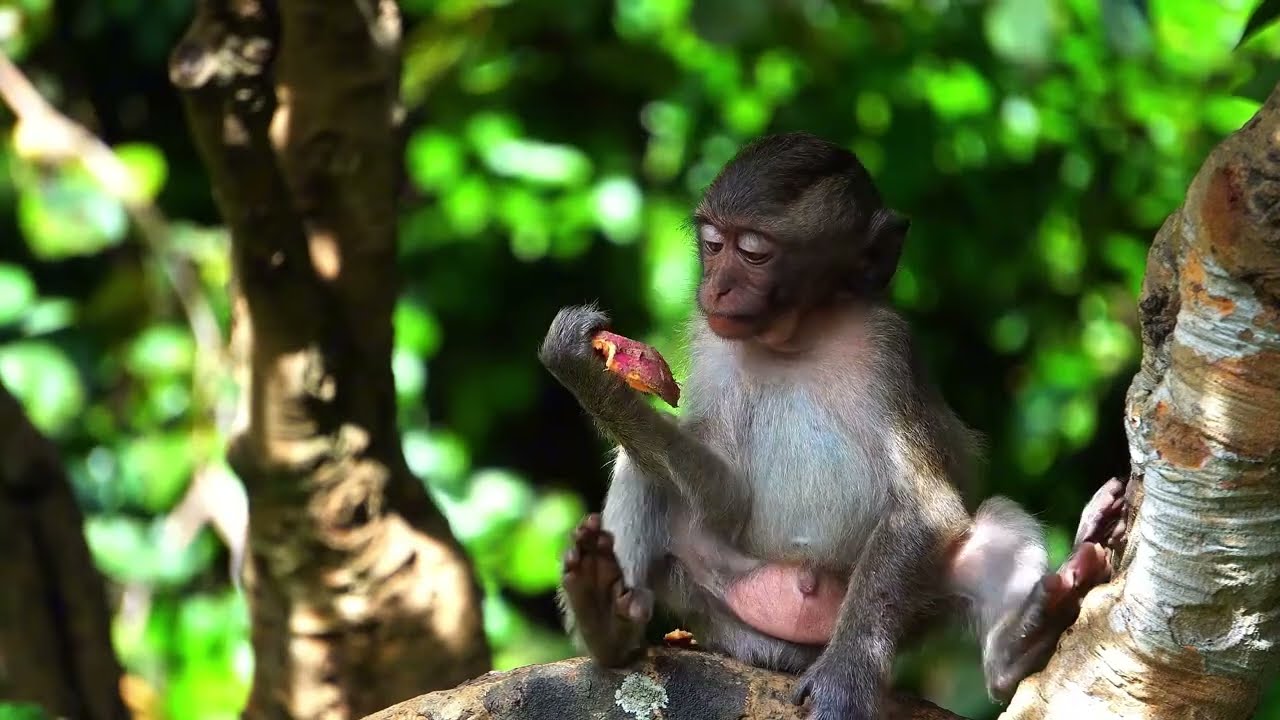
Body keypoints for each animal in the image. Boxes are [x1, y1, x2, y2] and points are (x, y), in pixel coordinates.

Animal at [538, 132, 1128, 719]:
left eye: (753, 252)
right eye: (713, 245)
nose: (717, 289)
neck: (796, 338)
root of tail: (783, 651)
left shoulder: (888, 348)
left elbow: (927, 506)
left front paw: (848, 677)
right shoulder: (713, 344)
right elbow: (727, 500)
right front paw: (591, 374)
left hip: (916, 609)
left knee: (996, 523)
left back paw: (1023, 640)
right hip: (716, 603)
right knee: (641, 468)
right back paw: (607, 618)